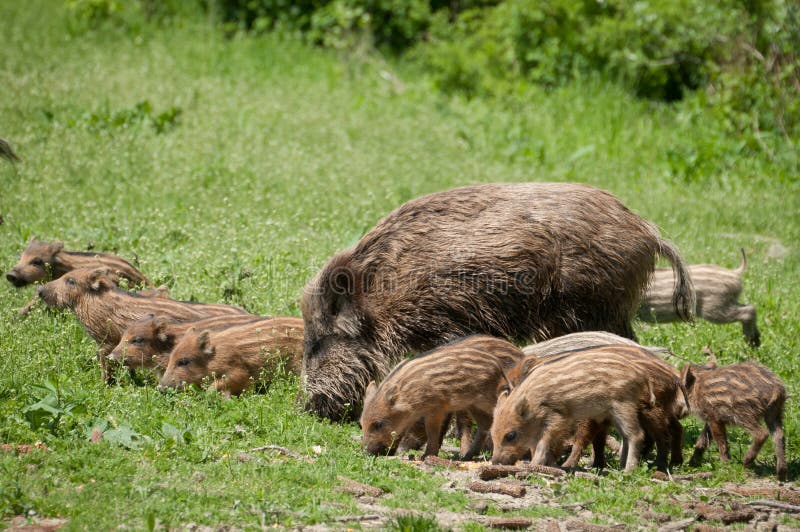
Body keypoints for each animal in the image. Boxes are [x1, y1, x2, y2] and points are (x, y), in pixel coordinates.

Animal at [301, 182, 695, 421]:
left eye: (319, 343)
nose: (306, 406)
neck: (382, 296)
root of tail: (647, 232)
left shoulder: (446, 318)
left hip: (587, 306)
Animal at [360, 335, 523, 460]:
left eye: (378, 424)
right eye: (361, 424)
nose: (366, 454)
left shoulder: (436, 409)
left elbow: (433, 431)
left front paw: (427, 456)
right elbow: (399, 432)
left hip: (489, 399)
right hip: (473, 405)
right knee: (485, 424)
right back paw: (467, 457)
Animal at [490, 345, 686, 472]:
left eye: (510, 435)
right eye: (492, 435)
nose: (495, 462)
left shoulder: (559, 417)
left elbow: (545, 442)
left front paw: (536, 465)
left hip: (628, 406)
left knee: (641, 435)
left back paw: (634, 469)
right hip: (618, 412)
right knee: (630, 435)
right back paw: (621, 464)